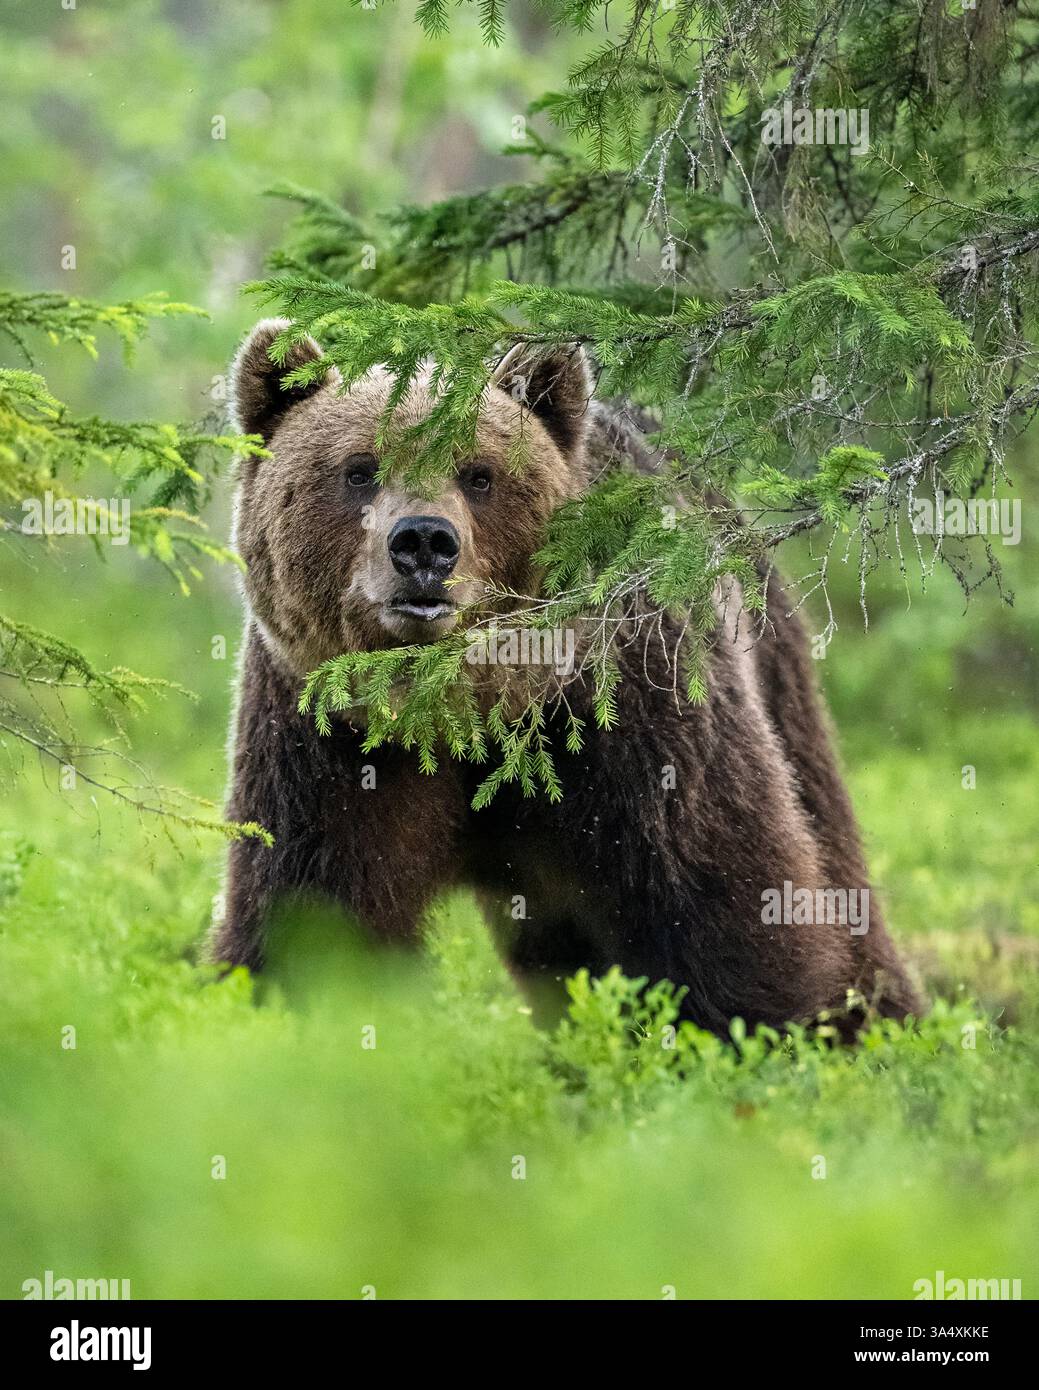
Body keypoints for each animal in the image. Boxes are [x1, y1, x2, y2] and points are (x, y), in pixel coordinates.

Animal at [208, 316, 922, 1037]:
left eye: (479, 474)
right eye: (360, 469)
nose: (424, 543)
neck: (463, 711)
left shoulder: (630, 710)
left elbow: (723, 897)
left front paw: (764, 1028)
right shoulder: (327, 733)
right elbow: (313, 906)